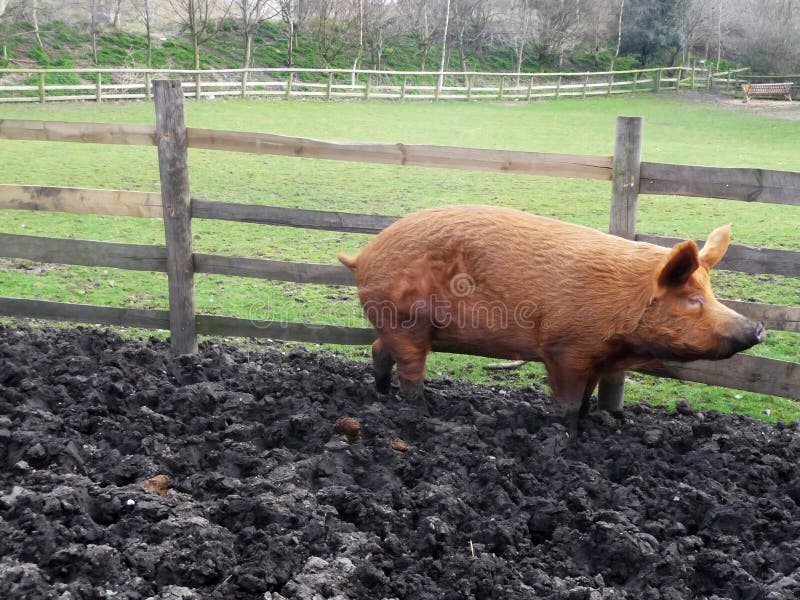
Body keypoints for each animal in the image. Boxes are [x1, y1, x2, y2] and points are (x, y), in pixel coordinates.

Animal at [338, 205, 765, 419]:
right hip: (406, 321)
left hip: (398, 325)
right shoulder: (564, 348)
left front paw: (589, 424)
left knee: (379, 351)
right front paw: (563, 431)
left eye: (711, 293)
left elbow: (587, 400)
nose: (758, 327)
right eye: (692, 299)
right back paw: (421, 410)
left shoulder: (596, 358)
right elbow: (567, 401)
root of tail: (363, 255)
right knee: (410, 369)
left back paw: (382, 395)